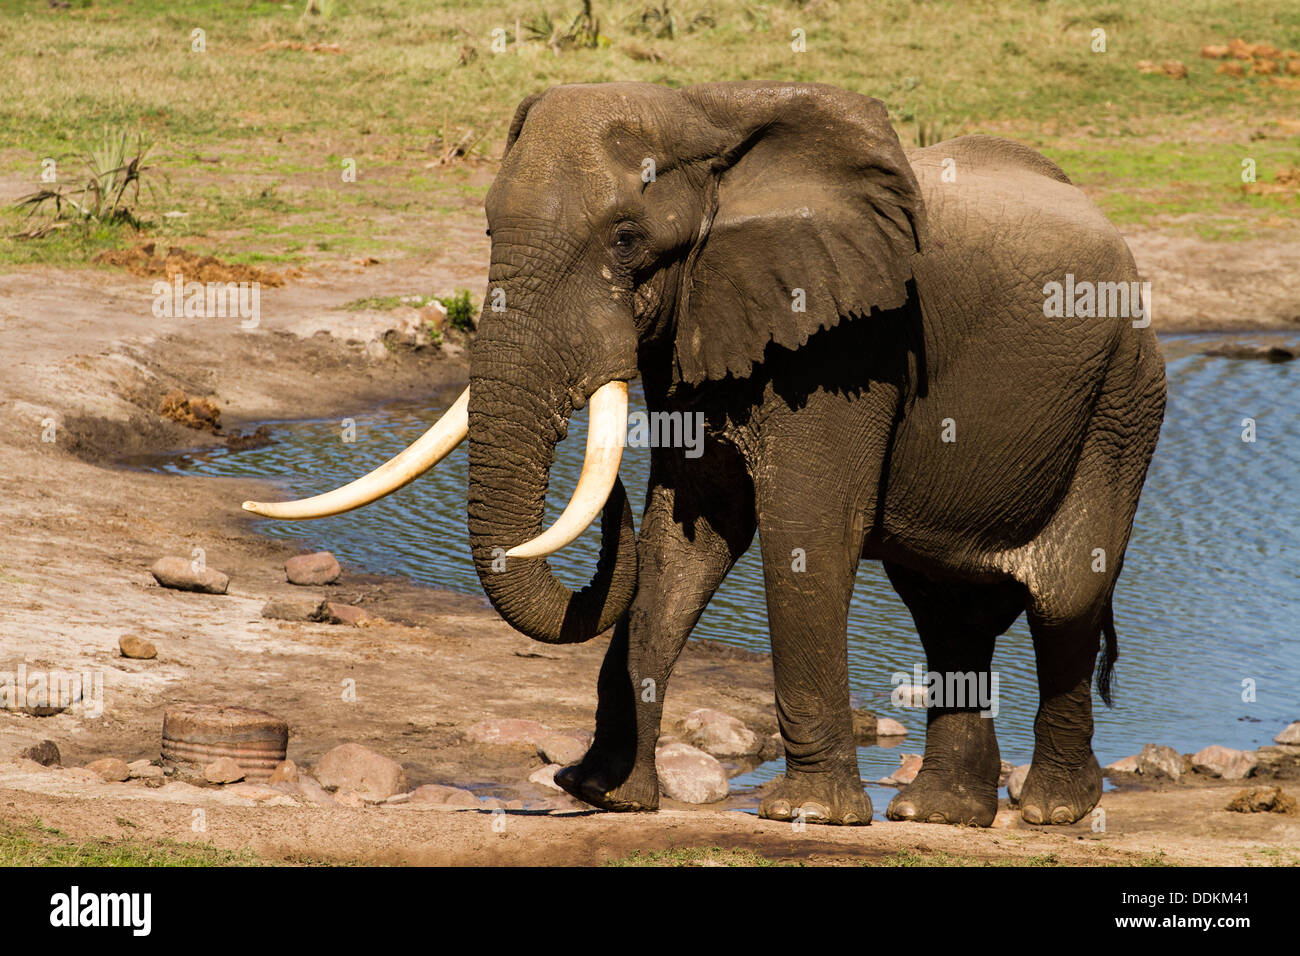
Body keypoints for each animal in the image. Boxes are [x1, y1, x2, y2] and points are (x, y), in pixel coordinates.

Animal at [244, 82, 1166, 828]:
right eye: (488, 228)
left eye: (625, 241)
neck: (710, 116)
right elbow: (683, 536)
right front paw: (603, 793)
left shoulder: (847, 341)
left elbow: (806, 533)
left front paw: (807, 815)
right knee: (947, 610)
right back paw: (936, 816)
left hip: (1124, 397)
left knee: (1064, 598)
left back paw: (1050, 813)